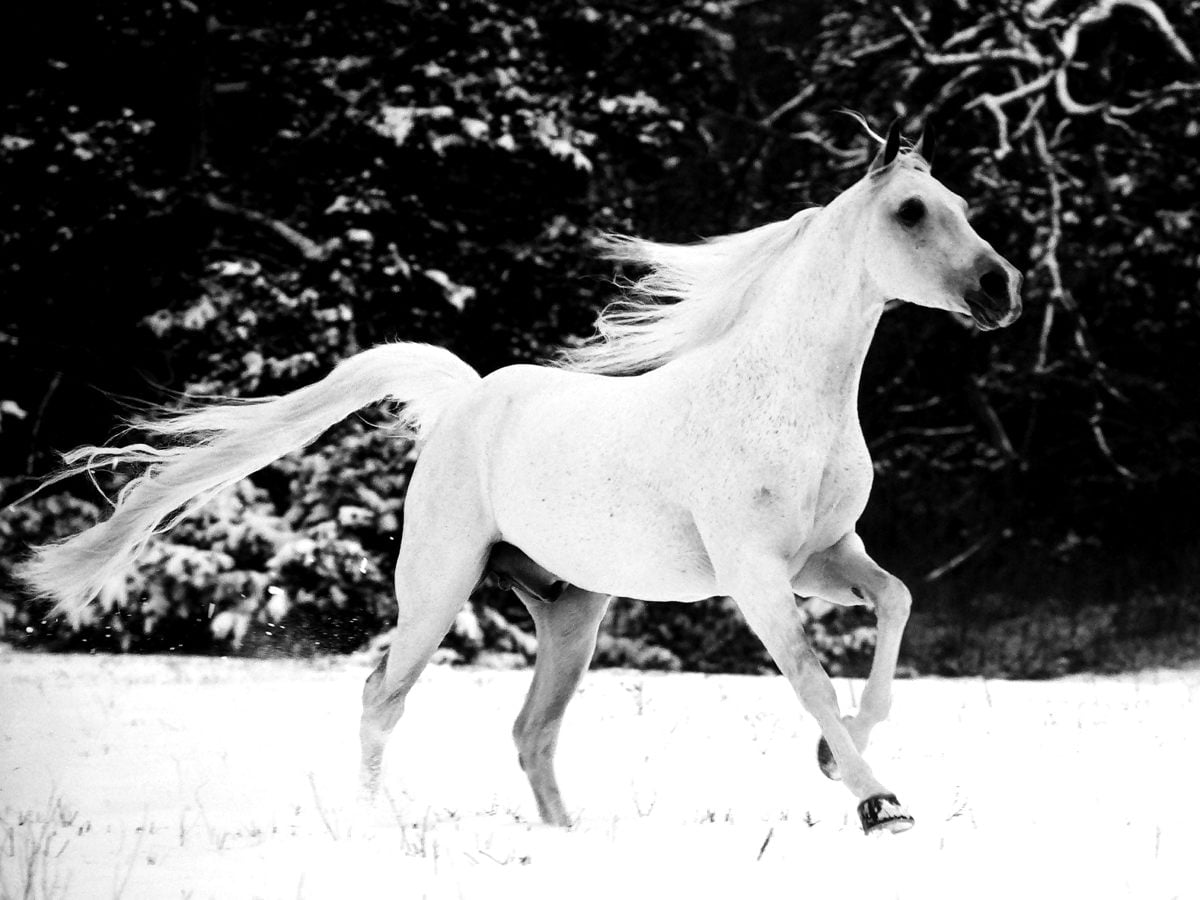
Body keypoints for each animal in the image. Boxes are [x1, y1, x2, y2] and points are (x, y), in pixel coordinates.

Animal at [18, 119, 1022, 835]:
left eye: (963, 202)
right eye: (911, 212)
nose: (1001, 289)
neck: (783, 397)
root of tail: (465, 399)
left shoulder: (827, 556)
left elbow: (894, 606)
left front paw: (830, 759)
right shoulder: (756, 575)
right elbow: (809, 674)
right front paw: (877, 804)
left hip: (572, 612)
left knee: (530, 732)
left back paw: (566, 840)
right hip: (437, 586)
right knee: (383, 696)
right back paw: (375, 830)